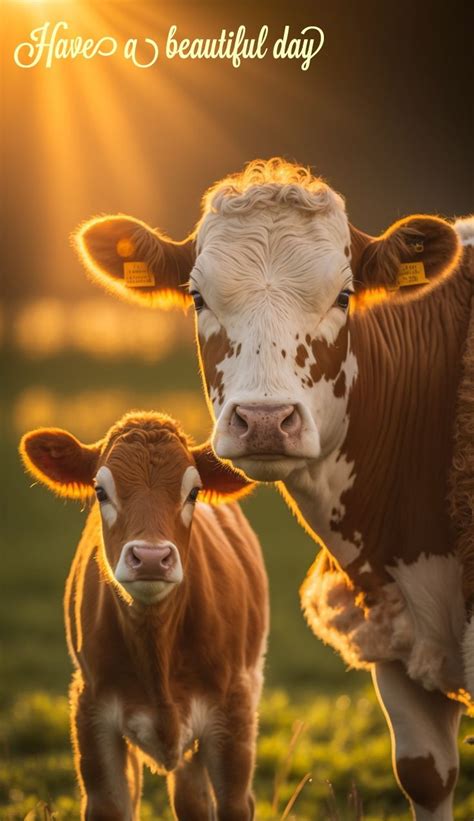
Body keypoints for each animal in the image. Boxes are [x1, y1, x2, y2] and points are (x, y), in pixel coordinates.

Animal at [20, 411, 269, 821]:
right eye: (100, 491)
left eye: (194, 492)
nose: (151, 558)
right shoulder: (91, 710)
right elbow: (110, 804)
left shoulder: (233, 713)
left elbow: (232, 803)